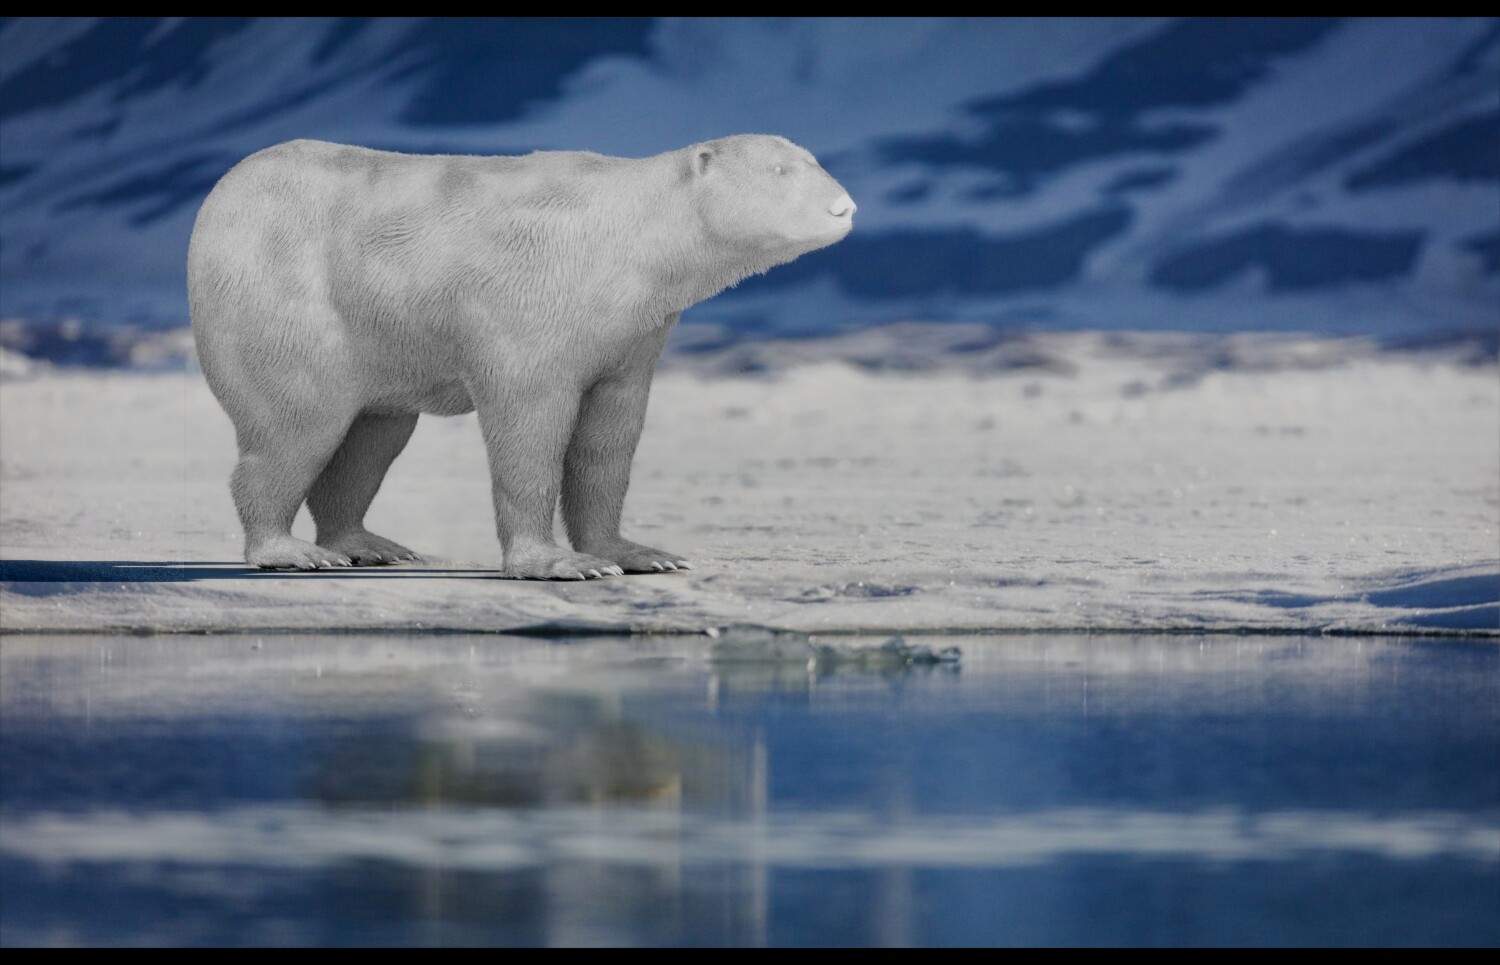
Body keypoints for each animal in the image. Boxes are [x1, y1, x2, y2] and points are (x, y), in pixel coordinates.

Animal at [188, 135, 856, 579]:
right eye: (779, 170)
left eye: (816, 161)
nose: (844, 206)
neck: (628, 234)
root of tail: (224, 189)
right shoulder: (532, 297)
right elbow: (530, 425)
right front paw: (557, 563)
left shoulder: (632, 329)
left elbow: (610, 436)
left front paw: (637, 554)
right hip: (290, 301)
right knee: (298, 423)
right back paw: (289, 551)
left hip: (382, 342)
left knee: (374, 435)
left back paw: (368, 543)